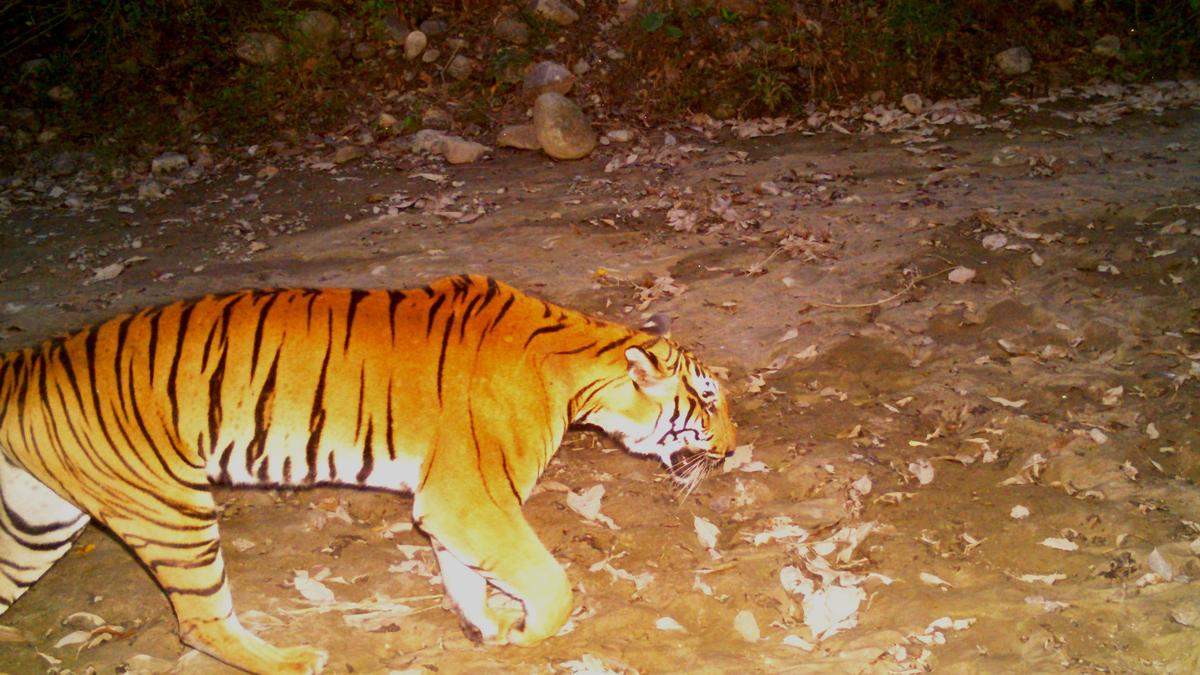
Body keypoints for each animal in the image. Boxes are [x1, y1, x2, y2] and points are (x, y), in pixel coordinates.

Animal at [0, 274, 735, 674]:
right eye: (707, 401)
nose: (732, 450)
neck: (579, 372)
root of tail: (25, 363)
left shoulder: (454, 505)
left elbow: (462, 573)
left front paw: (485, 626)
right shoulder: (471, 497)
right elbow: (551, 583)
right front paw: (528, 632)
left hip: (36, 521)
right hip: (168, 509)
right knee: (198, 621)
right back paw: (294, 660)